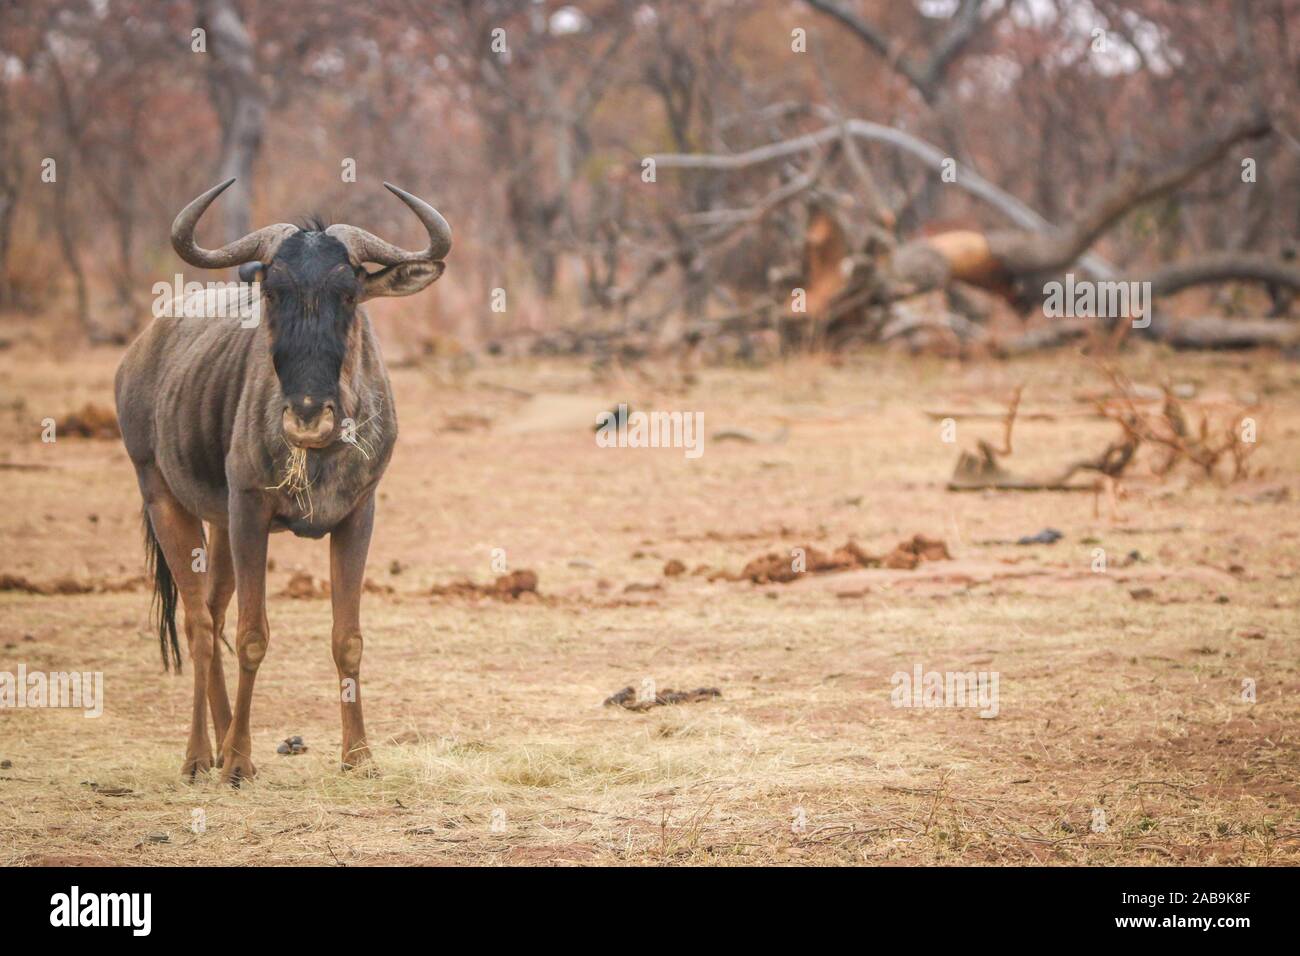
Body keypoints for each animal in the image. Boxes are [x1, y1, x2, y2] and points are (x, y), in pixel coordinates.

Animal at [115, 179, 449, 784]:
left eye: (349, 293)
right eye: (273, 293)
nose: (308, 418)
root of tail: (140, 350)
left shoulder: (357, 517)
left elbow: (348, 639)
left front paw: (359, 756)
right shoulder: (251, 513)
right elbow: (253, 637)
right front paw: (238, 762)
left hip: (219, 525)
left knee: (214, 611)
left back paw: (222, 739)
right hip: (163, 498)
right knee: (199, 624)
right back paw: (201, 756)